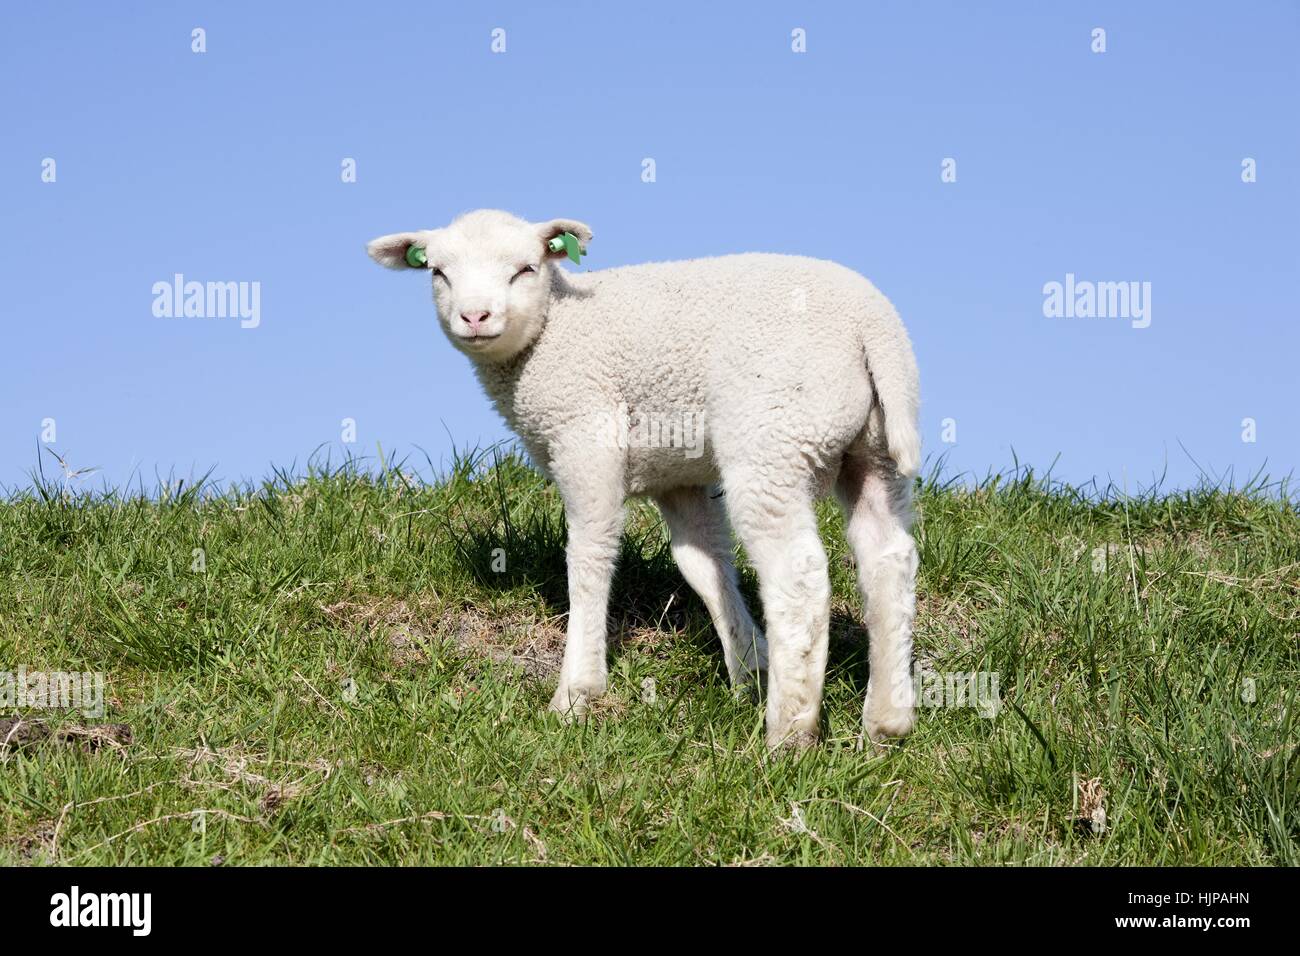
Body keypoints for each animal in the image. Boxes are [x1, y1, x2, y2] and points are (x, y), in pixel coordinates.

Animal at [367, 209, 921, 749]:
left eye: (525, 269)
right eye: (438, 273)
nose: (475, 317)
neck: (554, 327)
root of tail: (871, 324)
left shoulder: (586, 434)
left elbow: (590, 555)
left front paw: (577, 691)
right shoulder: (676, 476)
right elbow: (704, 564)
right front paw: (749, 667)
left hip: (774, 435)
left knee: (798, 577)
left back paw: (788, 733)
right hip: (874, 446)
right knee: (888, 557)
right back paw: (886, 721)